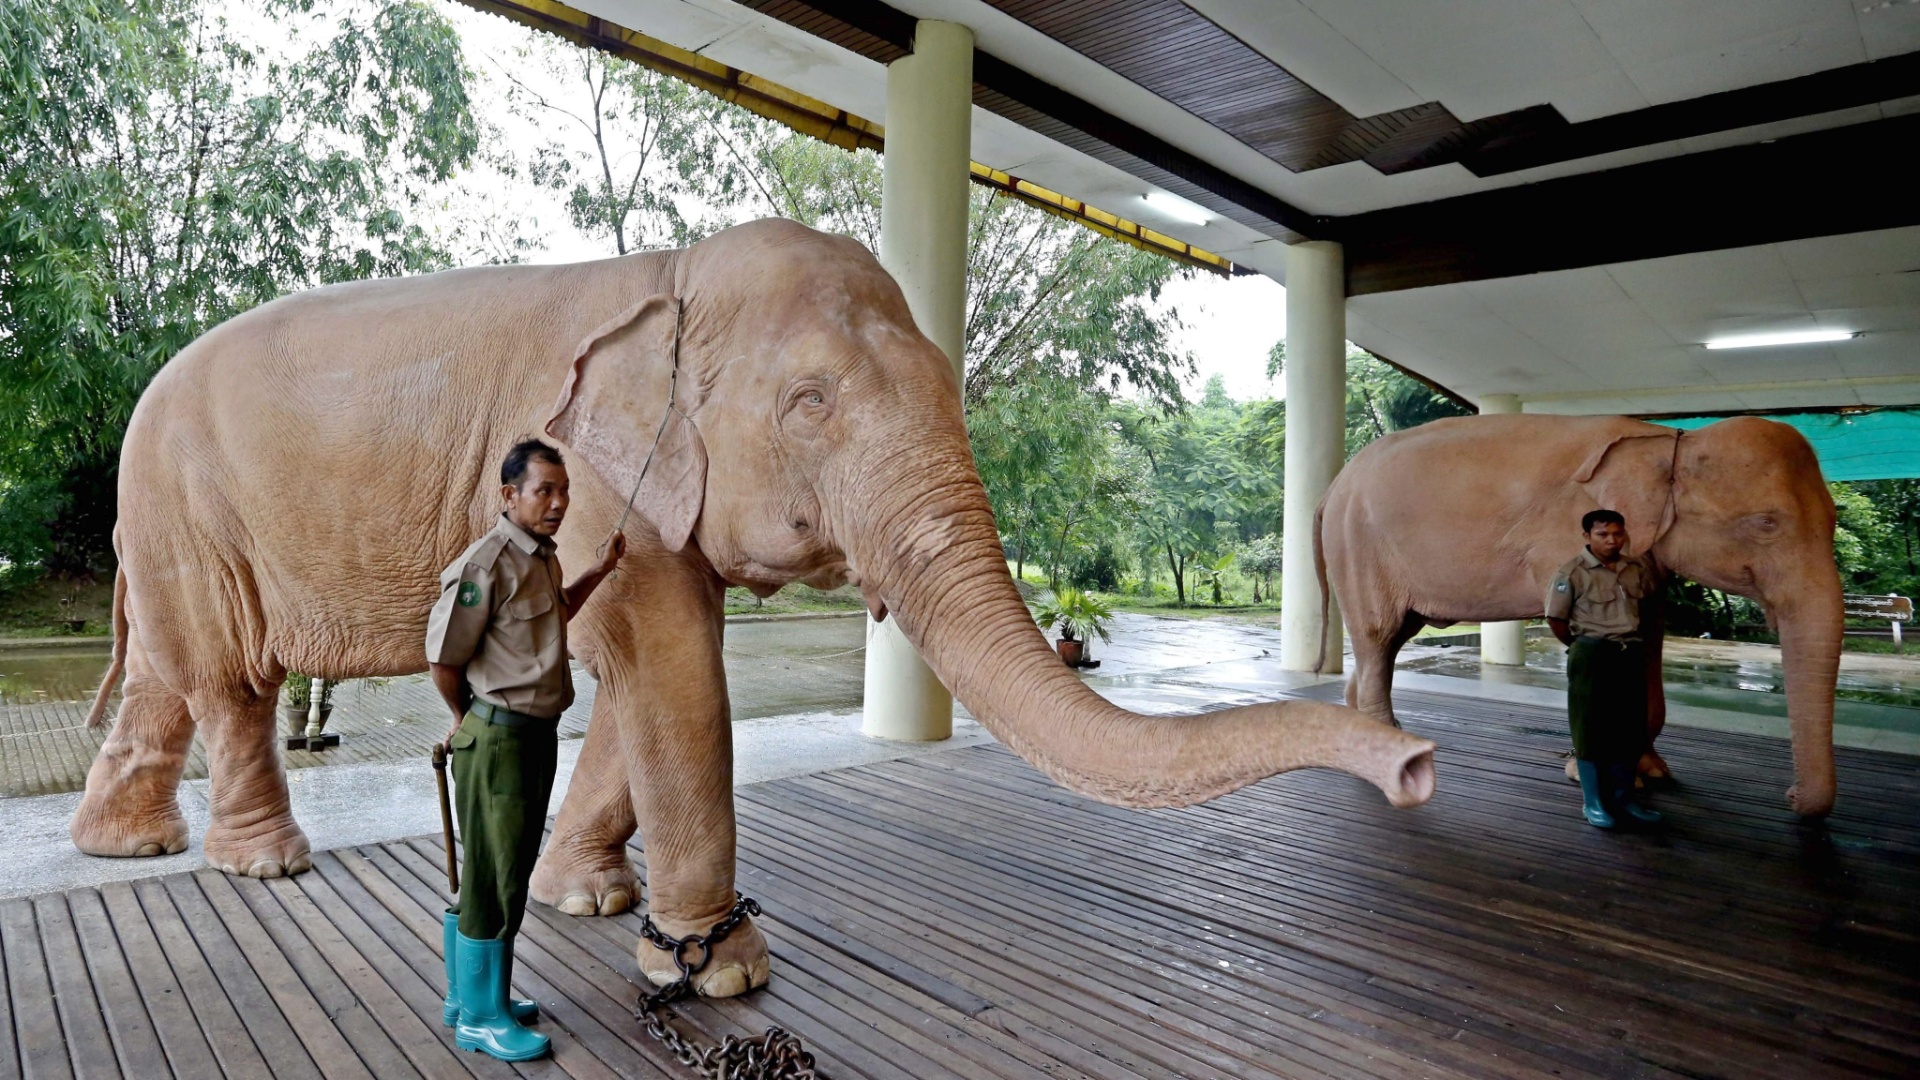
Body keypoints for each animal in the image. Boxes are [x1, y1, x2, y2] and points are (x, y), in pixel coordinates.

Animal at [73, 218, 1438, 998]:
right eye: (811, 405)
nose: (1419, 766)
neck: (666, 277)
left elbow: (634, 680)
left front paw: (591, 903)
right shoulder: (602, 475)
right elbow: (670, 672)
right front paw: (720, 974)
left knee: (165, 684)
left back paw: (119, 849)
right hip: (188, 513)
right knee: (224, 680)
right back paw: (263, 865)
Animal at [1314, 413, 1841, 817]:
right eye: (1766, 524)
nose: (1790, 797)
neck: (1668, 440)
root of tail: (1332, 487)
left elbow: (1648, 636)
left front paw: (1651, 773)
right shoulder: (1564, 544)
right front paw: (1592, 773)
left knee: (1391, 639)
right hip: (1357, 546)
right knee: (1377, 634)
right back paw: (1386, 748)